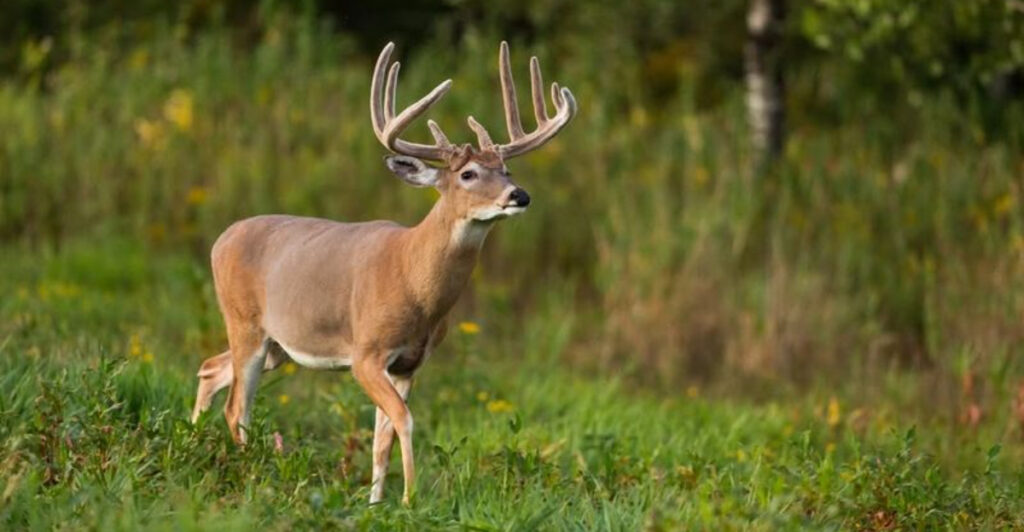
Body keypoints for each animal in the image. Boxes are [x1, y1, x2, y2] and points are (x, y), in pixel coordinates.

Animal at [189, 41, 576, 505]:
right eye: (468, 173)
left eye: (507, 170)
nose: (519, 195)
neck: (413, 280)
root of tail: (220, 239)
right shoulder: (366, 353)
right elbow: (404, 421)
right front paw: (409, 499)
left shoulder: (409, 363)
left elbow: (382, 438)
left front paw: (375, 503)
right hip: (244, 321)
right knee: (237, 407)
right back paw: (247, 472)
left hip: (277, 345)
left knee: (210, 368)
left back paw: (192, 442)